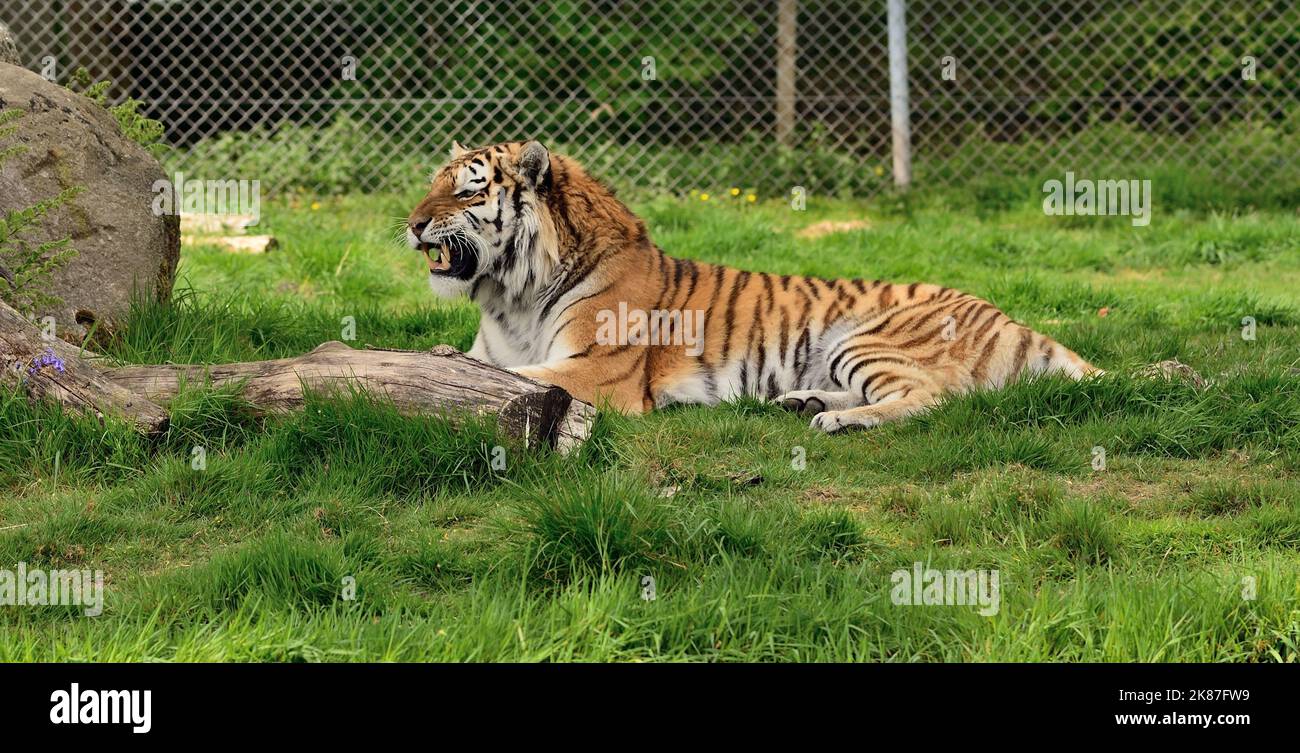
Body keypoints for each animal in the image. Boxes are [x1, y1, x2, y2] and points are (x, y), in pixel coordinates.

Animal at [406, 140, 1100, 433]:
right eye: (433, 182)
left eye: (467, 189)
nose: (412, 225)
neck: (511, 293)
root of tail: (1009, 317)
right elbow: (459, 363)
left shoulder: (597, 370)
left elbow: (516, 377)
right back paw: (804, 402)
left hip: (865, 339)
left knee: (935, 396)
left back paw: (836, 422)